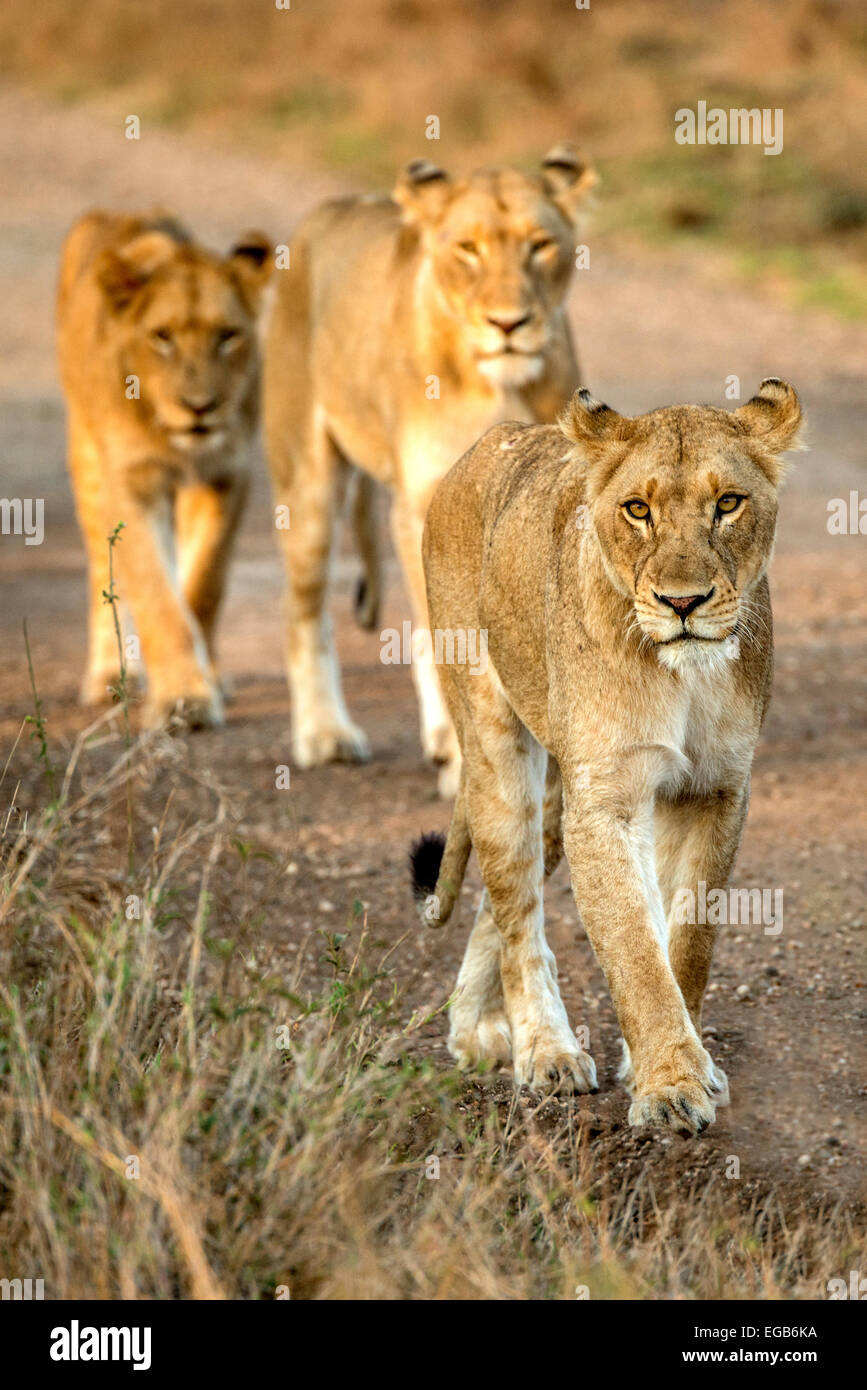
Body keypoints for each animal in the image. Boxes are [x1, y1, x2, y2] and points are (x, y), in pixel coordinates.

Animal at [57, 210, 272, 725]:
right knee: (101, 567)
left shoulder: (228, 474)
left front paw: (205, 677)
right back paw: (109, 673)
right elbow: (157, 595)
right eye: (162, 337)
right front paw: (183, 698)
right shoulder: (131, 482)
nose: (200, 408)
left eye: (228, 336)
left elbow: (203, 585)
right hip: (87, 458)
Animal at [264, 147, 596, 795]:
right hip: (308, 484)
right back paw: (326, 733)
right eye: (467, 249)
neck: (497, 383)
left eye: (541, 244)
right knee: (301, 610)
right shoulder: (420, 503)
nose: (509, 324)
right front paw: (467, 762)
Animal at [411, 379, 804, 1133]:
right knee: (518, 912)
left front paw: (675, 1064)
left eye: (727, 503)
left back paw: (471, 1030)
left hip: (555, 798)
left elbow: (687, 940)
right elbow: (632, 948)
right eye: (637, 510)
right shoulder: (607, 800)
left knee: (499, 904)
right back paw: (545, 1052)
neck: (685, 675)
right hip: (498, 751)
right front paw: (671, 1086)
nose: (683, 602)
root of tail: (487, 442)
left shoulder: (717, 789)